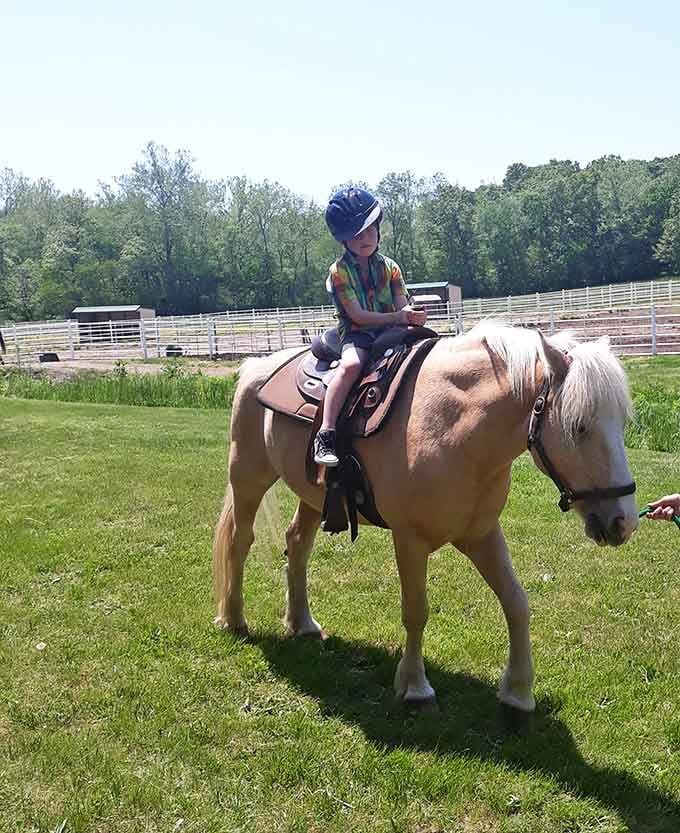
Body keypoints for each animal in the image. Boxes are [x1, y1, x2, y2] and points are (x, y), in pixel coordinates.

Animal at [213, 322, 638, 711]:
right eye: (578, 427)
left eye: (622, 424)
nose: (625, 522)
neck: (454, 428)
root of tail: (256, 367)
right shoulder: (409, 540)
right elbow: (416, 612)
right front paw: (415, 686)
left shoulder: (482, 534)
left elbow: (517, 603)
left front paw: (518, 691)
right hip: (247, 476)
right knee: (240, 541)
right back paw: (233, 618)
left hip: (314, 497)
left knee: (297, 545)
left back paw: (301, 622)